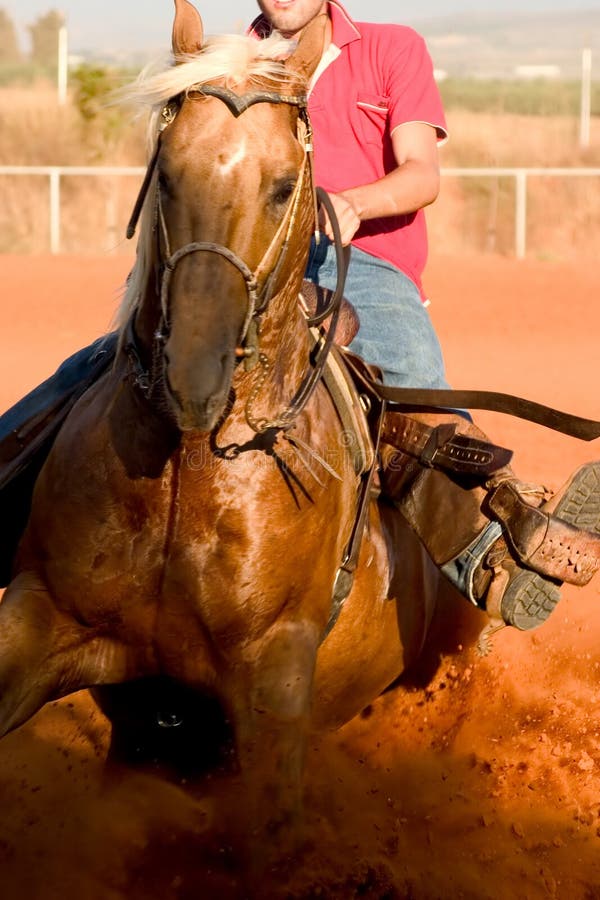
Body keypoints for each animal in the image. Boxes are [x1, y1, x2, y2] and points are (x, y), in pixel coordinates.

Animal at [0, 0, 446, 868]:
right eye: (167, 175)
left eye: (283, 187)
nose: (193, 377)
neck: (191, 472)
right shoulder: (39, 620)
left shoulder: (274, 684)